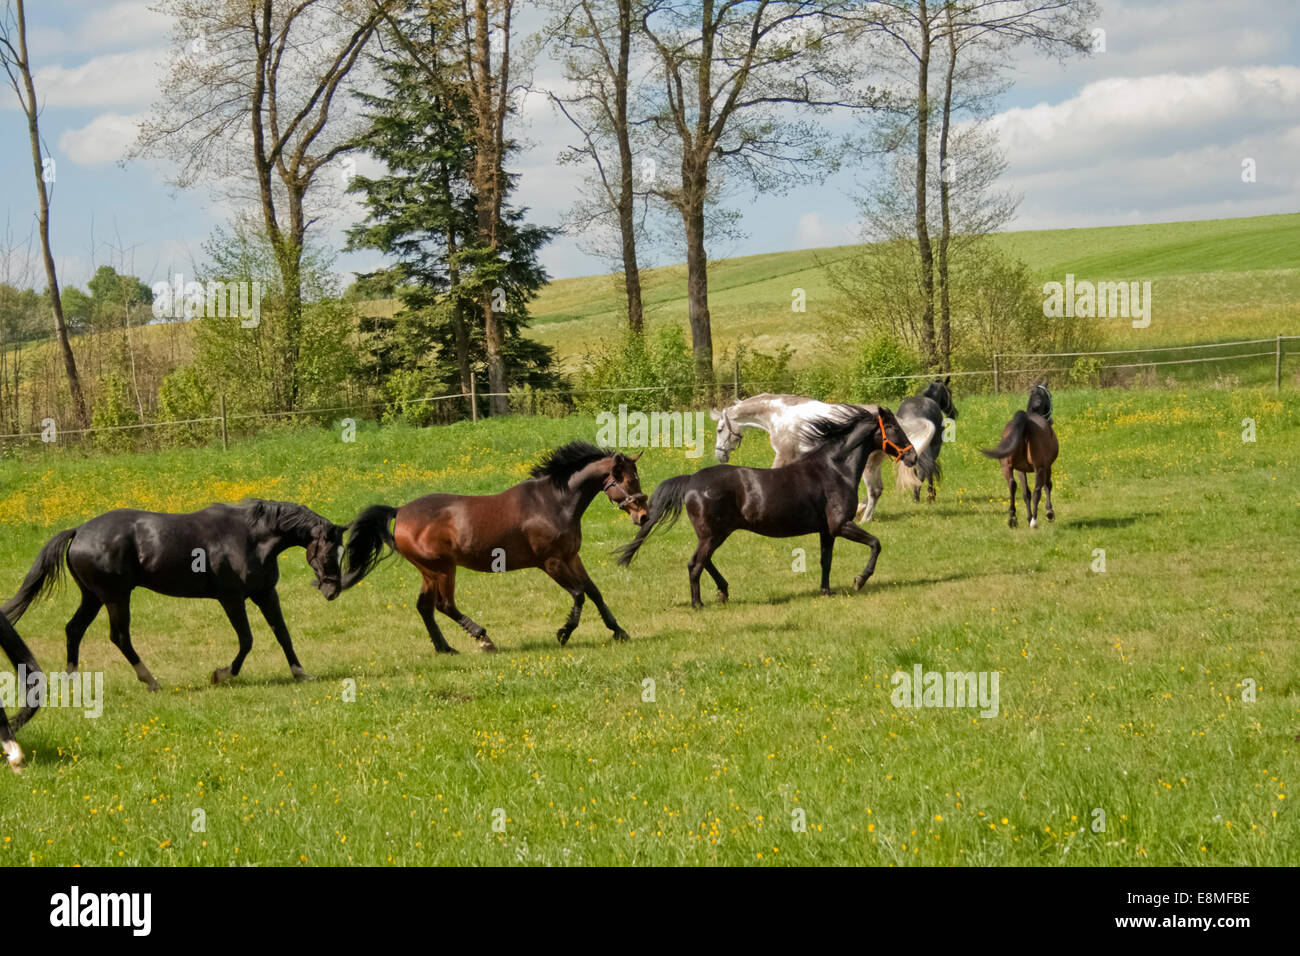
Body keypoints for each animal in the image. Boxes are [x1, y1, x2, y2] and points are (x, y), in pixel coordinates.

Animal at [2, 500, 346, 689]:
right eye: (330, 552)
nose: (332, 590)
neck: (251, 537)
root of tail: (79, 531)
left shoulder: (265, 593)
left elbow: (282, 634)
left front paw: (301, 673)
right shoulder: (232, 598)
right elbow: (247, 640)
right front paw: (221, 675)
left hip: (94, 597)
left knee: (74, 630)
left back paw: (72, 681)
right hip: (115, 598)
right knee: (120, 637)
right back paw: (151, 681)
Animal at [340, 442, 649, 653]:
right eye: (629, 479)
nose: (644, 516)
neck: (554, 503)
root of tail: (399, 511)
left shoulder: (571, 557)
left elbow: (594, 592)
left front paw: (619, 631)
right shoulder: (551, 562)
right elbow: (579, 594)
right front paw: (563, 633)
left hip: (429, 572)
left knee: (425, 607)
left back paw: (445, 648)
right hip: (442, 569)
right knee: (444, 605)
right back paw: (484, 639)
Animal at [618, 405, 932, 607]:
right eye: (892, 427)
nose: (912, 457)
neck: (834, 468)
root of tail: (692, 479)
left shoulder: (826, 530)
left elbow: (826, 560)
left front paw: (826, 591)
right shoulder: (841, 524)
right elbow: (875, 544)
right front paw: (859, 580)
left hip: (716, 533)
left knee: (703, 561)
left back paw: (723, 592)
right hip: (712, 534)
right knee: (695, 564)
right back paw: (699, 603)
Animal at [710, 388, 949, 521]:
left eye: (720, 429)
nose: (719, 455)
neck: (779, 415)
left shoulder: (783, 455)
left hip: (868, 466)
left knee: (874, 491)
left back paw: (865, 519)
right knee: (876, 491)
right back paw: (861, 511)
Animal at [982, 383, 1059, 528]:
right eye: (1050, 396)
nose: (1051, 420)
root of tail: (1026, 422)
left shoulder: (1020, 470)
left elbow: (1025, 493)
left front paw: (1028, 517)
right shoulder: (1047, 467)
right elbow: (1047, 486)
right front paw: (1049, 512)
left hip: (1007, 467)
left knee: (1012, 485)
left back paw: (1013, 518)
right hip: (1040, 468)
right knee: (1037, 491)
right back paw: (1034, 521)